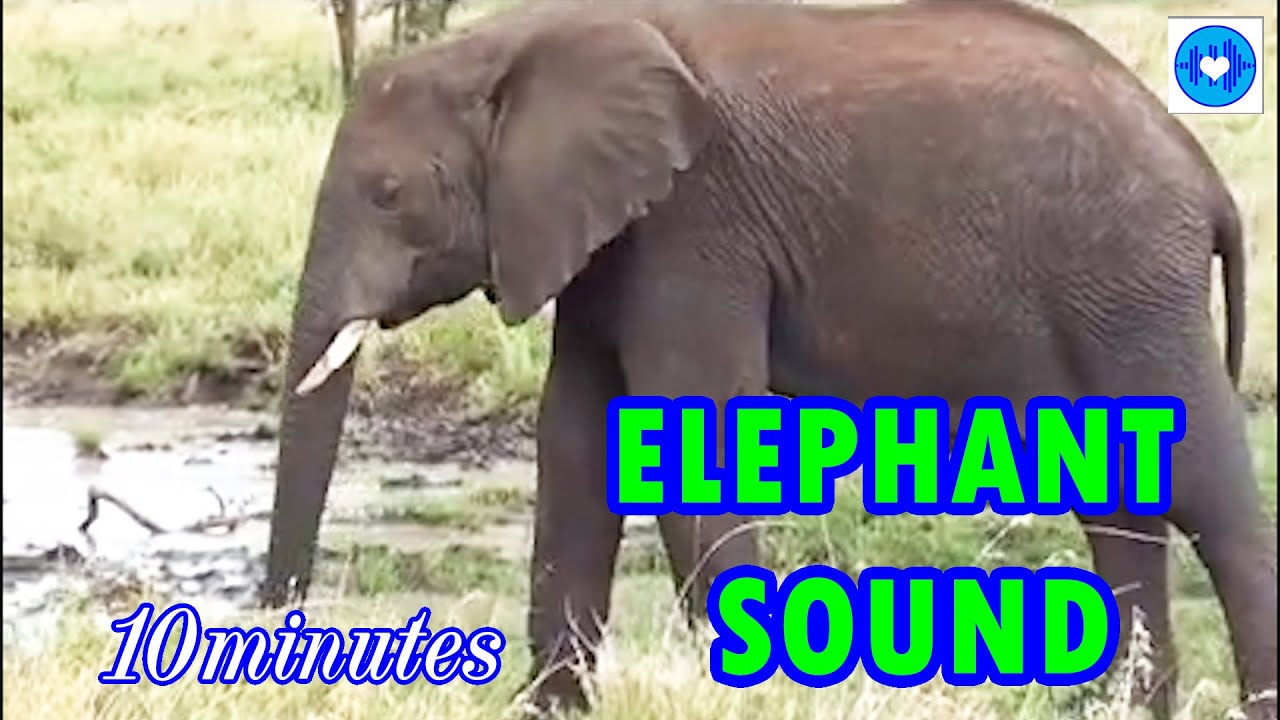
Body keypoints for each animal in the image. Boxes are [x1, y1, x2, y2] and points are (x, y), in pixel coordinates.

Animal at [258, 0, 1277, 717]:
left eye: (389, 194)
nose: (280, 636)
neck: (519, 40)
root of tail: (1204, 173)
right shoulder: (601, 231)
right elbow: (576, 443)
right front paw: (548, 711)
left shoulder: (696, 224)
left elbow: (682, 431)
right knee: (1122, 502)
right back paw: (1117, 709)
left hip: (1134, 284)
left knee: (1206, 495)